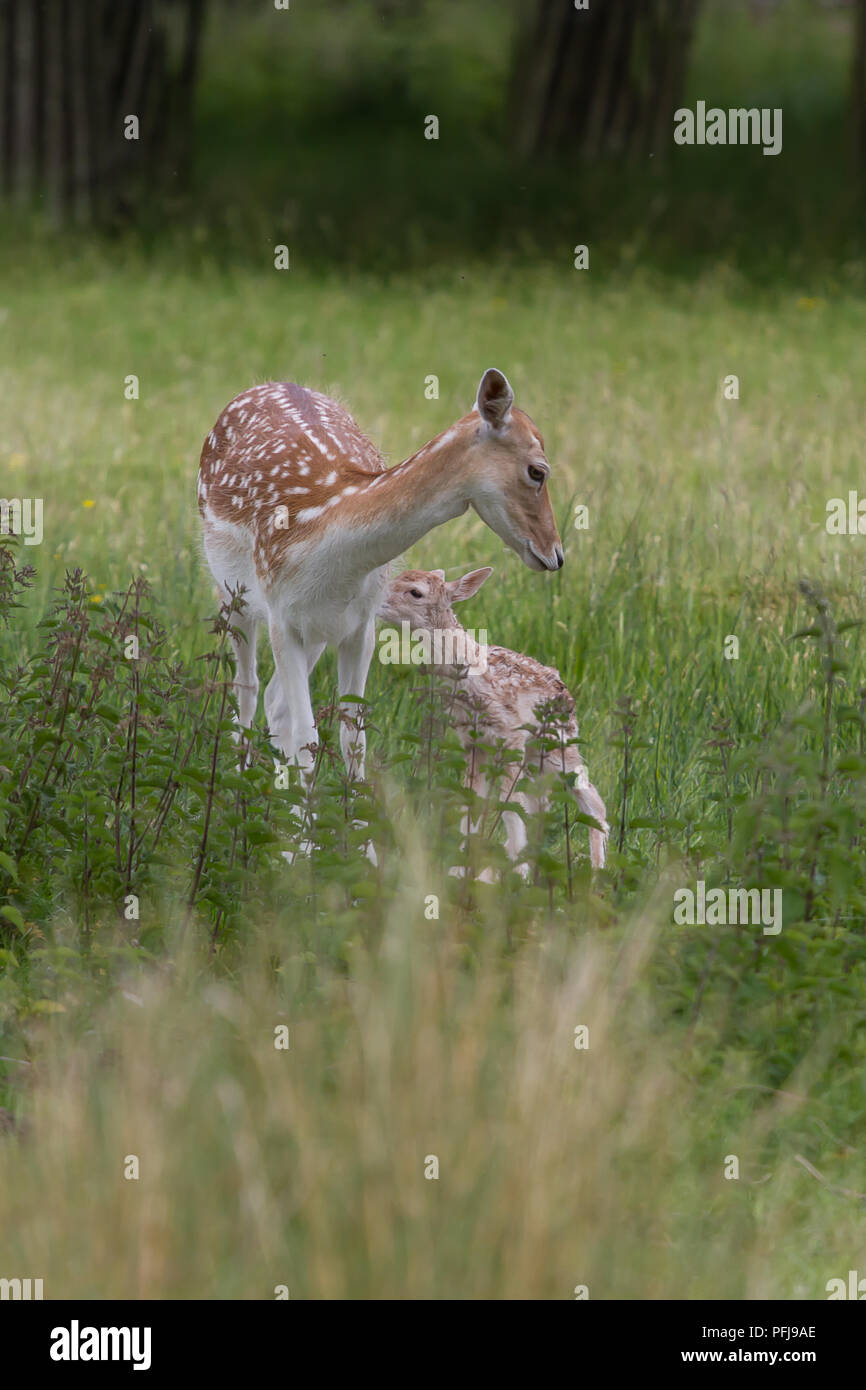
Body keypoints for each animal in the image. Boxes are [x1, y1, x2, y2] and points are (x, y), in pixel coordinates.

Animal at [197, 369, 564, 798]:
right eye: (538, 471)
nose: (556, 555)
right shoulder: (280, 615)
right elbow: (308, 736)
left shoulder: (360, 622)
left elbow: (353, 736)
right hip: (231, 590)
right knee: (246, 687)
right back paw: (236, 789)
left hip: (318, 628)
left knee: (275, 701)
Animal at [377, 567, 609, 873]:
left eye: (415, 592)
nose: (375, 601)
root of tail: (563, 686)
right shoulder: (472, 742)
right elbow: (471, 807)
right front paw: (460, 870)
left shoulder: (511, 737)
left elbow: (510, 811)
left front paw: (515, 875)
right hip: (536, 756)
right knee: (540, 804)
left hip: (559, 743)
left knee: (592, 799)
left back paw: (597, 871)